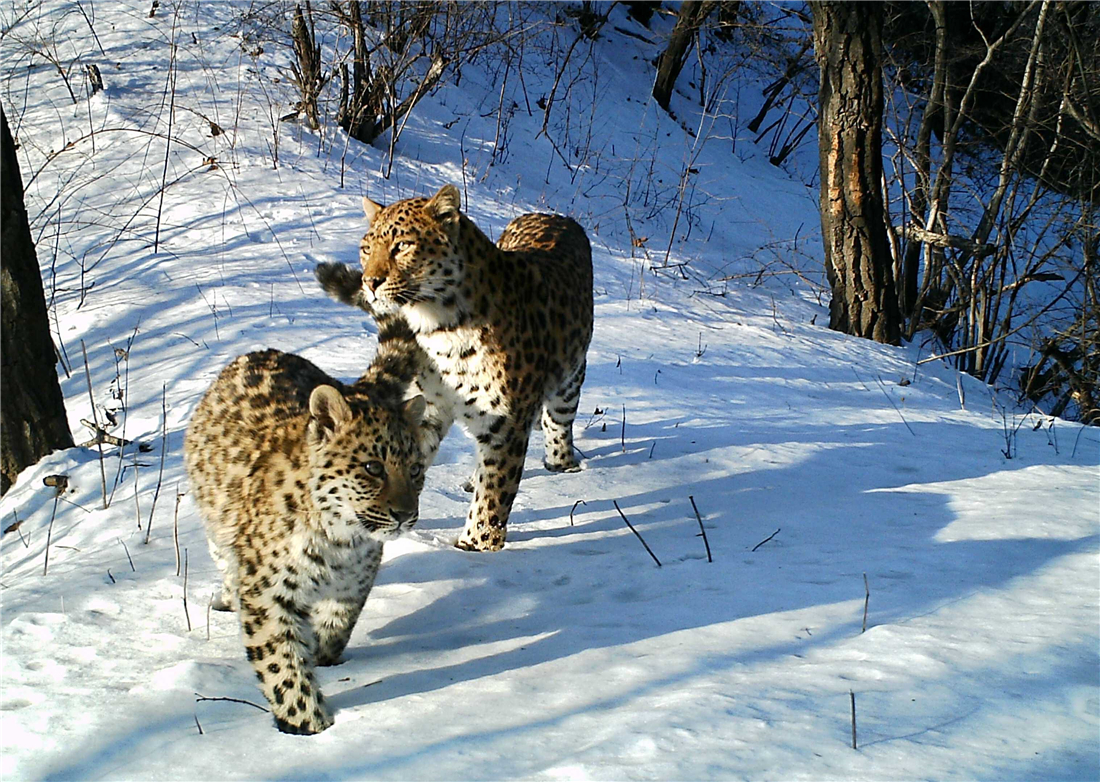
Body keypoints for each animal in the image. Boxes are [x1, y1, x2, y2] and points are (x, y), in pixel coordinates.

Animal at [183, 328, 426, 735]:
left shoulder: (351, 587)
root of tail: (258, 351)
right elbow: (280, 662)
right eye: (372, 467)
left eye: (416, 470)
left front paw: (322, 658)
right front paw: (308, 723)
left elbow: (334, 627)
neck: (340, 540)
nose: (406, 515)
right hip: (215, 528)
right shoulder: (267, 595)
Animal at [316, 183, 593, 552]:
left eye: (402, 246)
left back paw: (562, 464)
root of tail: (551, 215)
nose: (370, 282)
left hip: (570, 379)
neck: (440, 328)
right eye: (366, 248)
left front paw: (476, 546)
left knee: (558, 420)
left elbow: (494, 494)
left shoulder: (509, 422)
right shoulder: (430, 407)